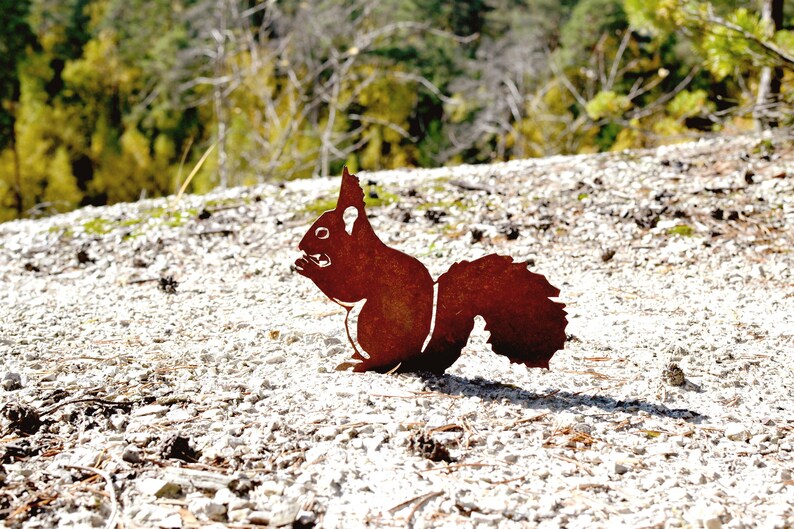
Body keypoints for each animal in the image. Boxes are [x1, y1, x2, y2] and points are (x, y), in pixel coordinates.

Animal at [295, 167, 567, 374]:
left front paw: (306, 266)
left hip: (367, 324)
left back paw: (363, 365)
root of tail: (415, 359)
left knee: (384, 361)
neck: (356, 246)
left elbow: (346, 289)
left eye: (322, 232)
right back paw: (354, 360)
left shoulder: (364, 268)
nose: (300, 246)